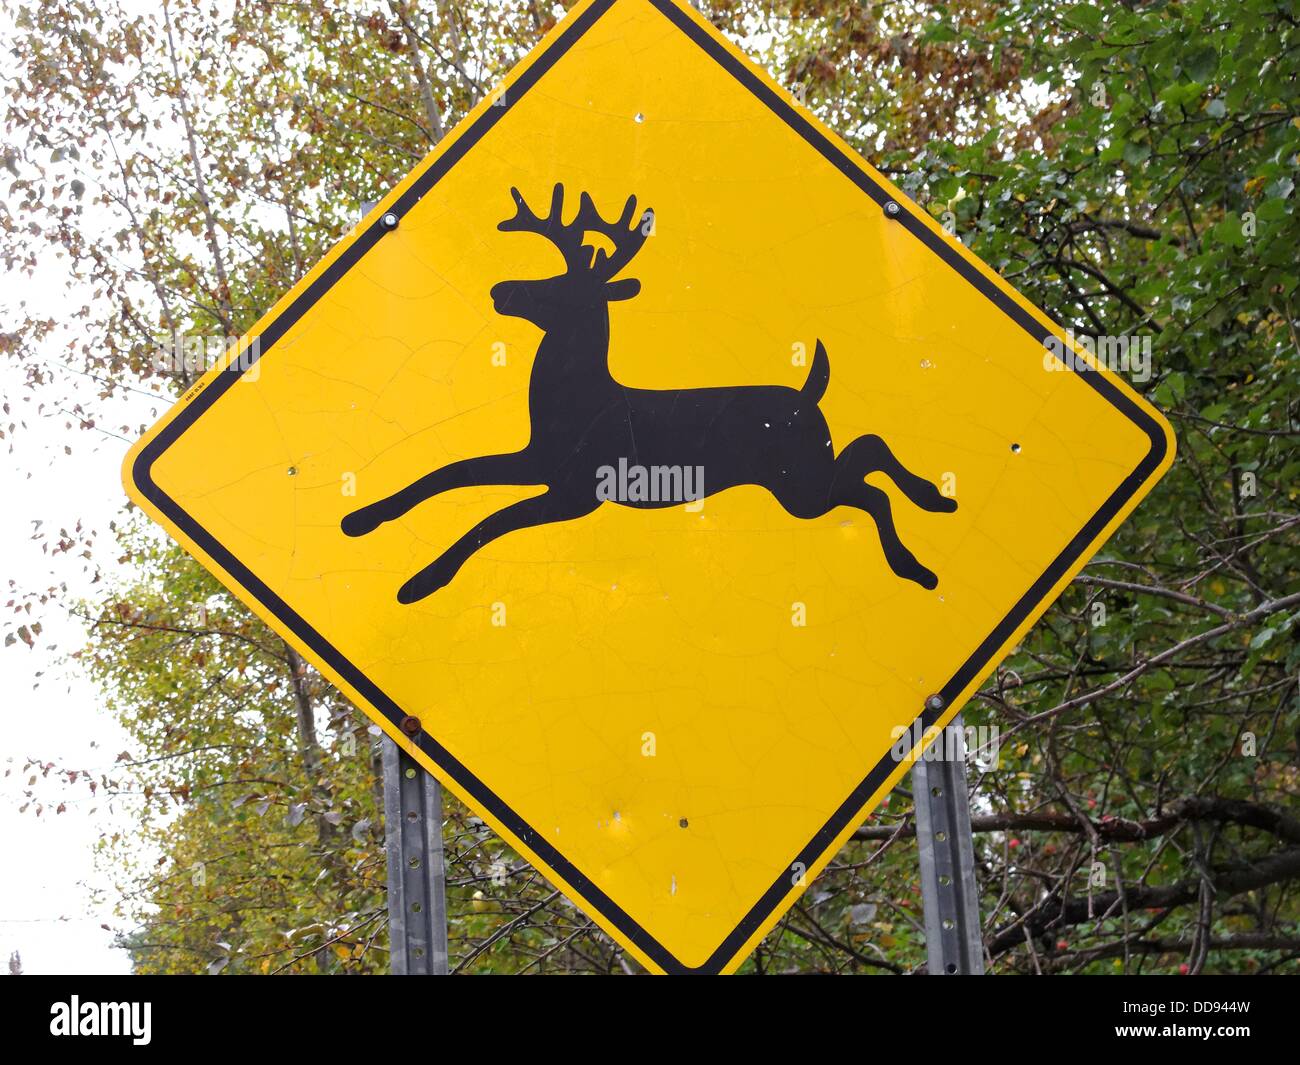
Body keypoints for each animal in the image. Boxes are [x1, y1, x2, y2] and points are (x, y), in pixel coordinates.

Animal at [342, 183, 957, 603]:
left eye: (565, 285)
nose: (502, 290)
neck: (575, 403)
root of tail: (810, 393)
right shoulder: (536, 457)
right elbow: (447, 472)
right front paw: (359, 520)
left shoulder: (578, 491)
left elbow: (490, 521)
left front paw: (419, 583)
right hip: (805, 474)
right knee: (869, 453)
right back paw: (937, 502)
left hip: (800, 484)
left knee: (868, 478)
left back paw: (919, 561)